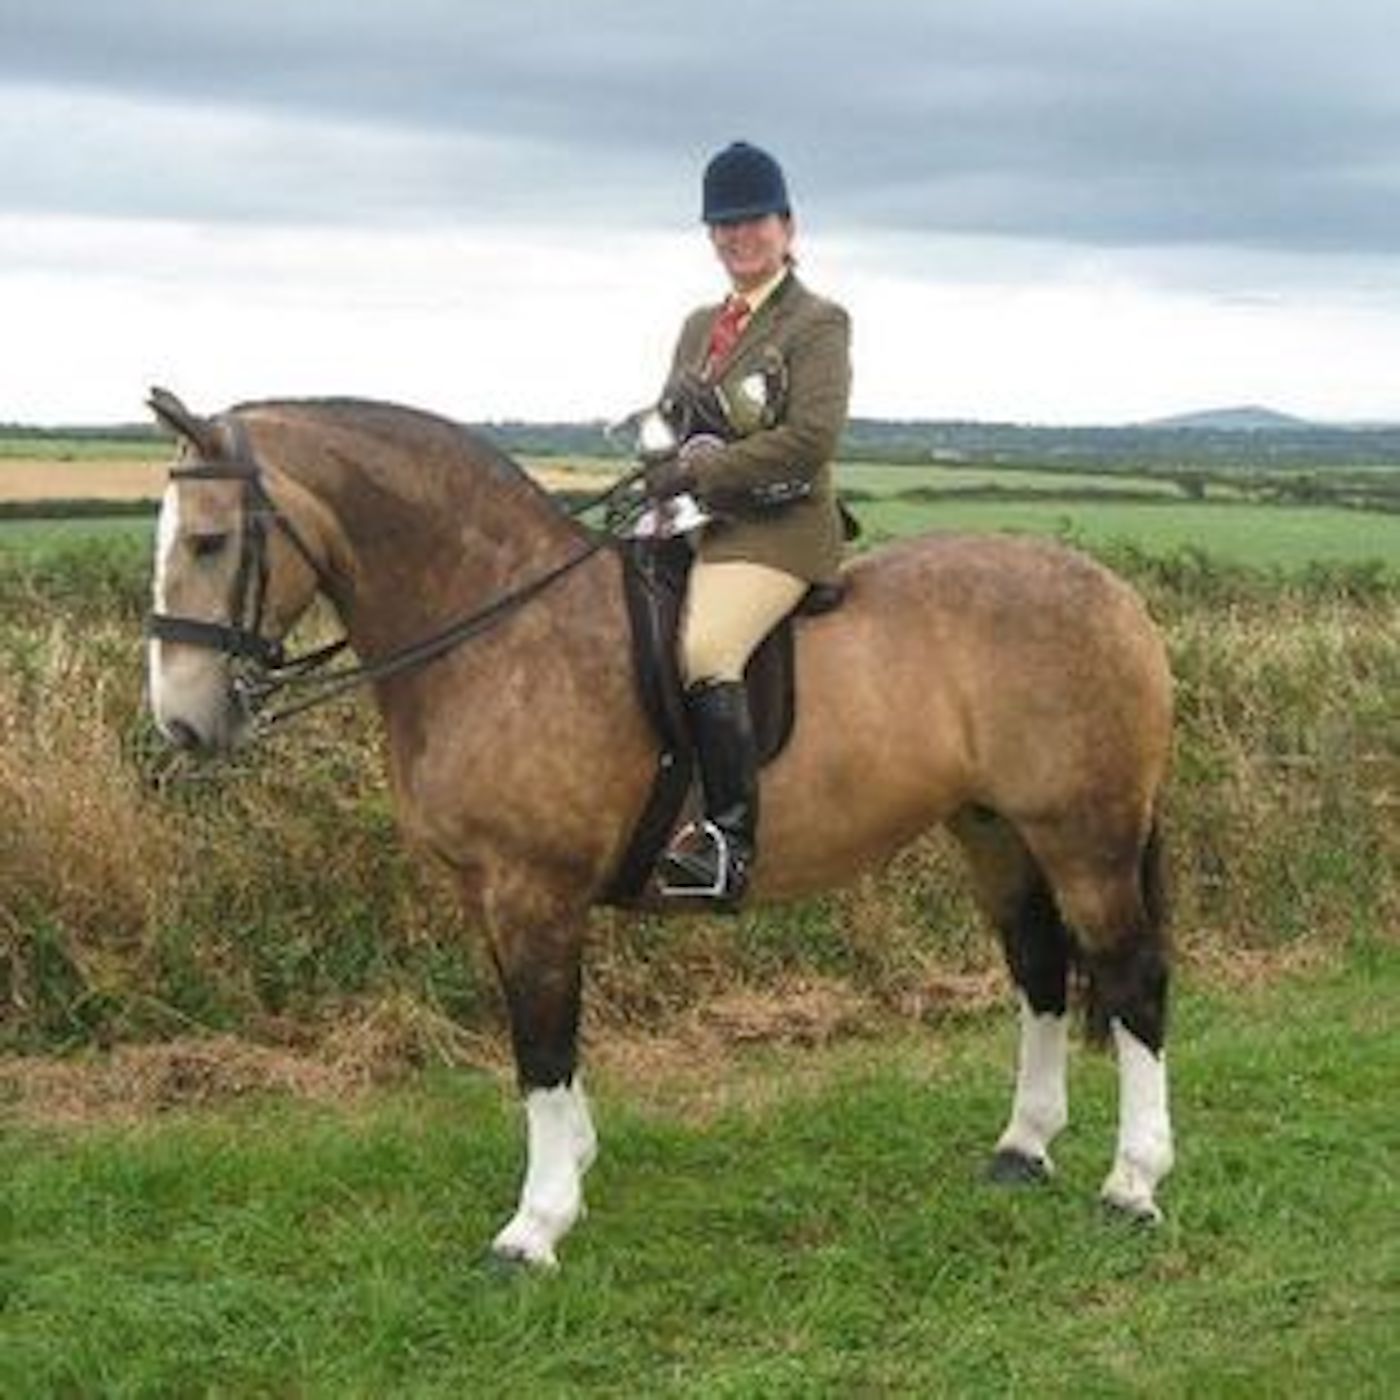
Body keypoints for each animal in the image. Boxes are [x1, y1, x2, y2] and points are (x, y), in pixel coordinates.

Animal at [145, 391, 1176, 1270]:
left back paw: (1132, 1184)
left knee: (1131, 980)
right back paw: (1023, 1148)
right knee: (1039, 968)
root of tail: (1117, 596)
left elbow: (543, 1045)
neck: (497, 624)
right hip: (995, 830)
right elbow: (541, 1039)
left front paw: (535, 1226)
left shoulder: (533, 891)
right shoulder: (489, 895)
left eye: (208, 540)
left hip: (1085, 835)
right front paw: (574, 1170)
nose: (182, 724)